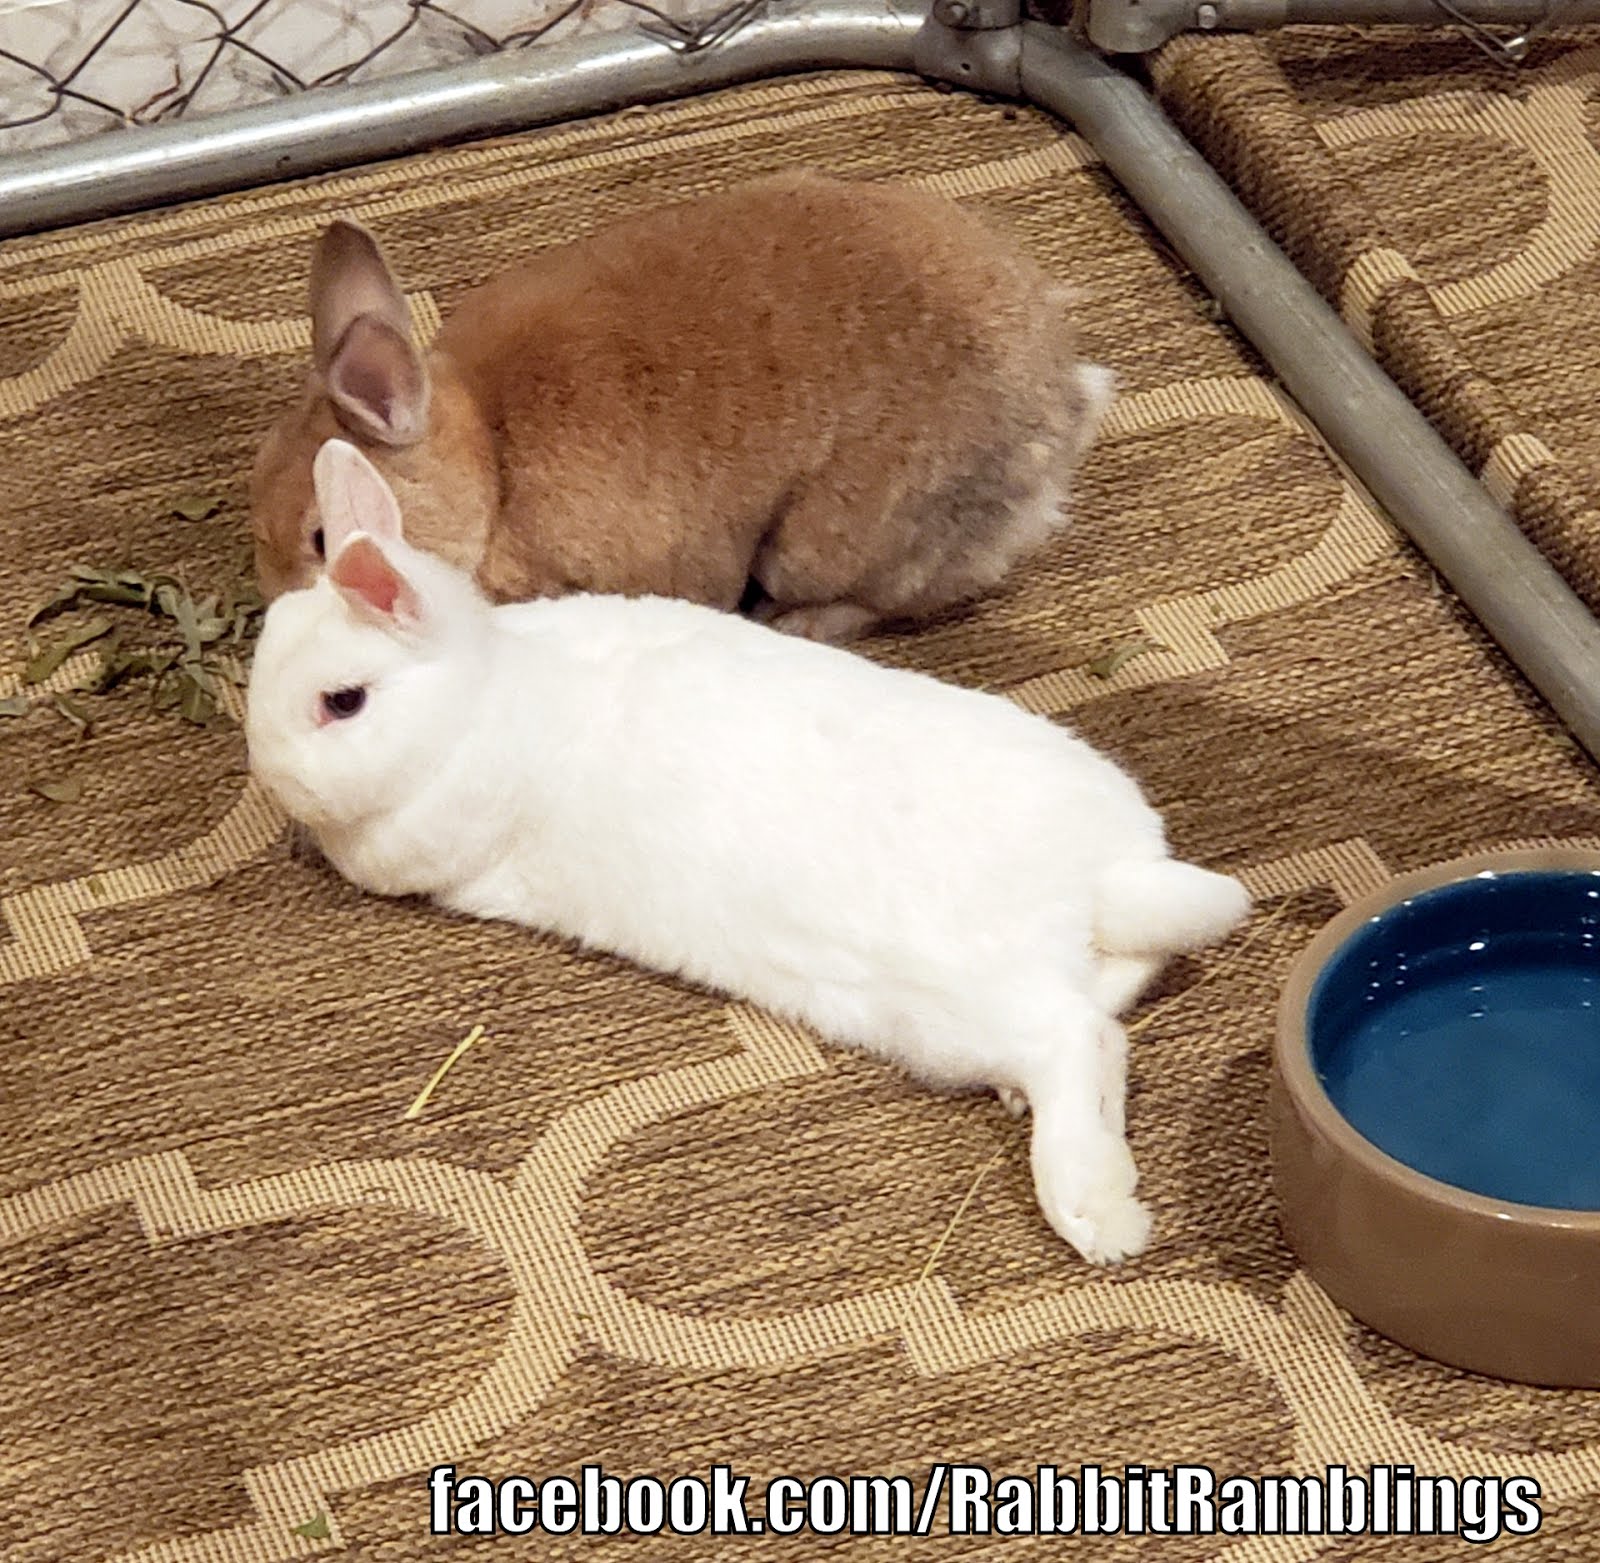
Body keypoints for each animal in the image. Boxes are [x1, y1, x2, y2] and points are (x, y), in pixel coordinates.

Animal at [246, 441, 1250, 1266]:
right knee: (1108, 1020)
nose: (266, 769)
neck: (481, 689)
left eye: (343, 702)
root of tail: (1107, 882)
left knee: (1074, 1042)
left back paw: (1098, 1213)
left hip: (959, 1010)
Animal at [250, 171, 1115, 643]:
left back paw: (799, 625)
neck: (490, 463)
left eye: (323, 538)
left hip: (828, 541)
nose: (281, 607)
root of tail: (1065, 406)